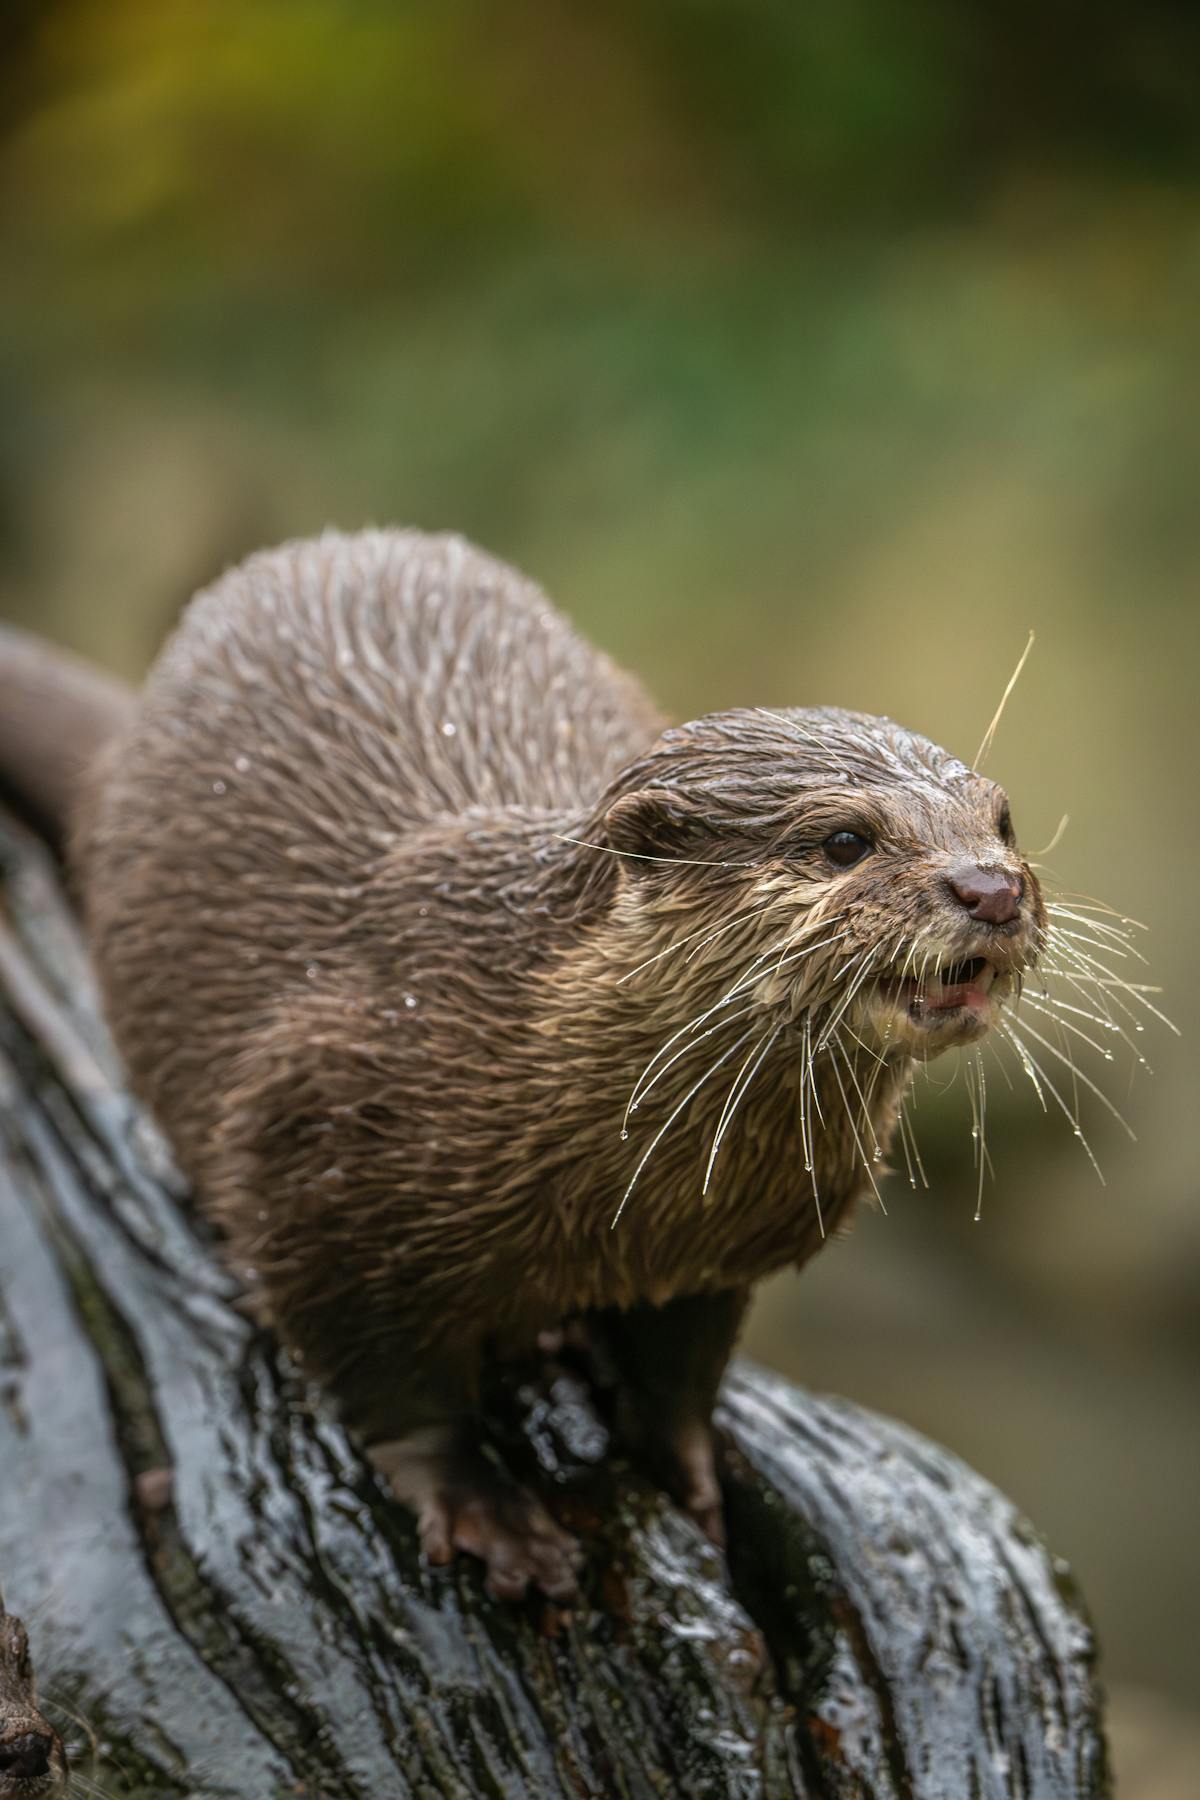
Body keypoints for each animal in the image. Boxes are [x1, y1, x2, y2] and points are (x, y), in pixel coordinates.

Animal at [0, 530, 1048, 1601]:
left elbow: (684, 1370)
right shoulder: (315, 1154)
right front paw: (485, 1512)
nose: (992, 888)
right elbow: (388, 1380)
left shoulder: (728, 1240)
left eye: (1002, 819)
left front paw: (691, 1481)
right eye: (844, 840)